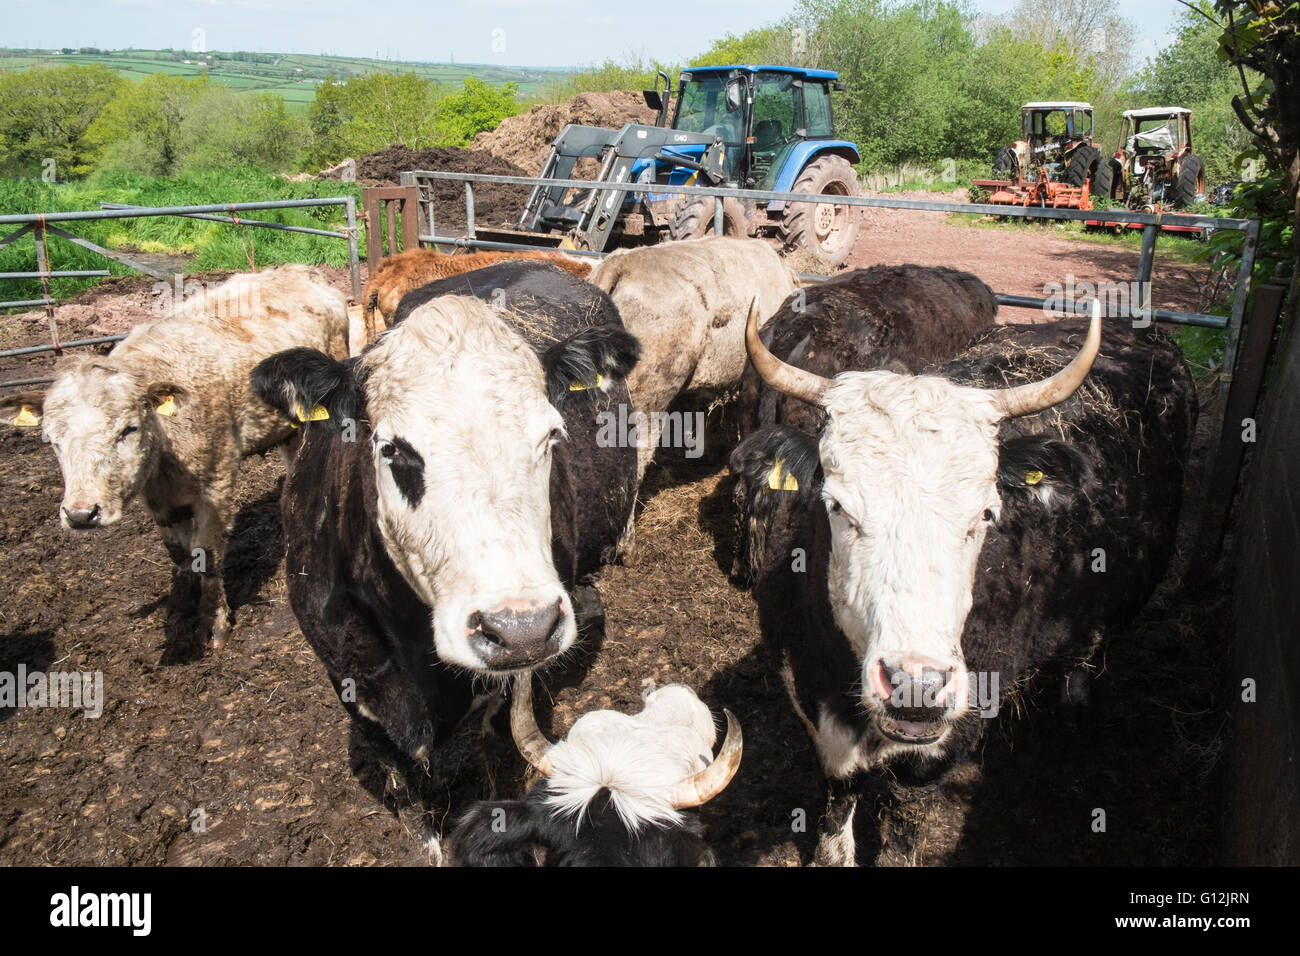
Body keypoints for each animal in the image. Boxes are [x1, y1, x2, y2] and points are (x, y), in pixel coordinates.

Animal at [1, 265, 349, 651]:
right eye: (52, 440)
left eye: (129, 429)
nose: (80, 514)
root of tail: (301, 271)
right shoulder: (160, 501)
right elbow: (180, 554)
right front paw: (180, 611)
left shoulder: (215, 486)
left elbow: (207, 555)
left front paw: (213, 624)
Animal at [730, 297, 1195, 865]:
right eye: (837, 505)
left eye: (986, 513)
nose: (916, 685)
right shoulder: (813, 703)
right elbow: (839, 799)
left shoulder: (950, 731)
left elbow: (904, 815)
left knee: (1089, 652)